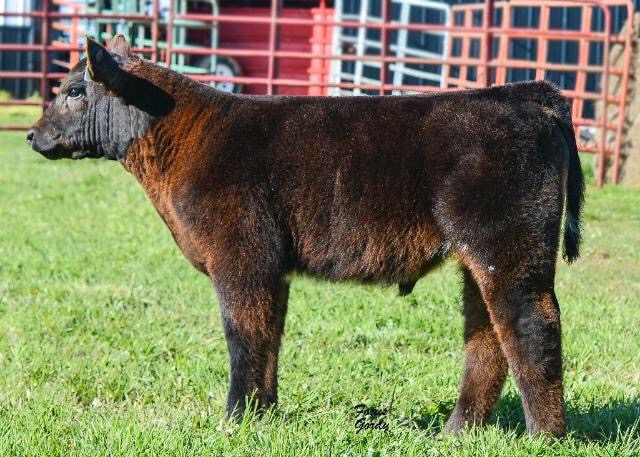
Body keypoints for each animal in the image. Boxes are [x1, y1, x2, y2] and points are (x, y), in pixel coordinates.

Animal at [27, 35, 584, 437]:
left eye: (74, 90)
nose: (32, 134)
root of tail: (518, 94)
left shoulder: (242, 259)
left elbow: (244, 335)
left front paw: (235, 419)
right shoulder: (272, 270)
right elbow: (270, 334)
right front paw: (263, 414)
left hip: (508, 250)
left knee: (531, 326)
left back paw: (544, 435)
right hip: (478, 258)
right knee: (487, 336)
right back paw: (458, 430)